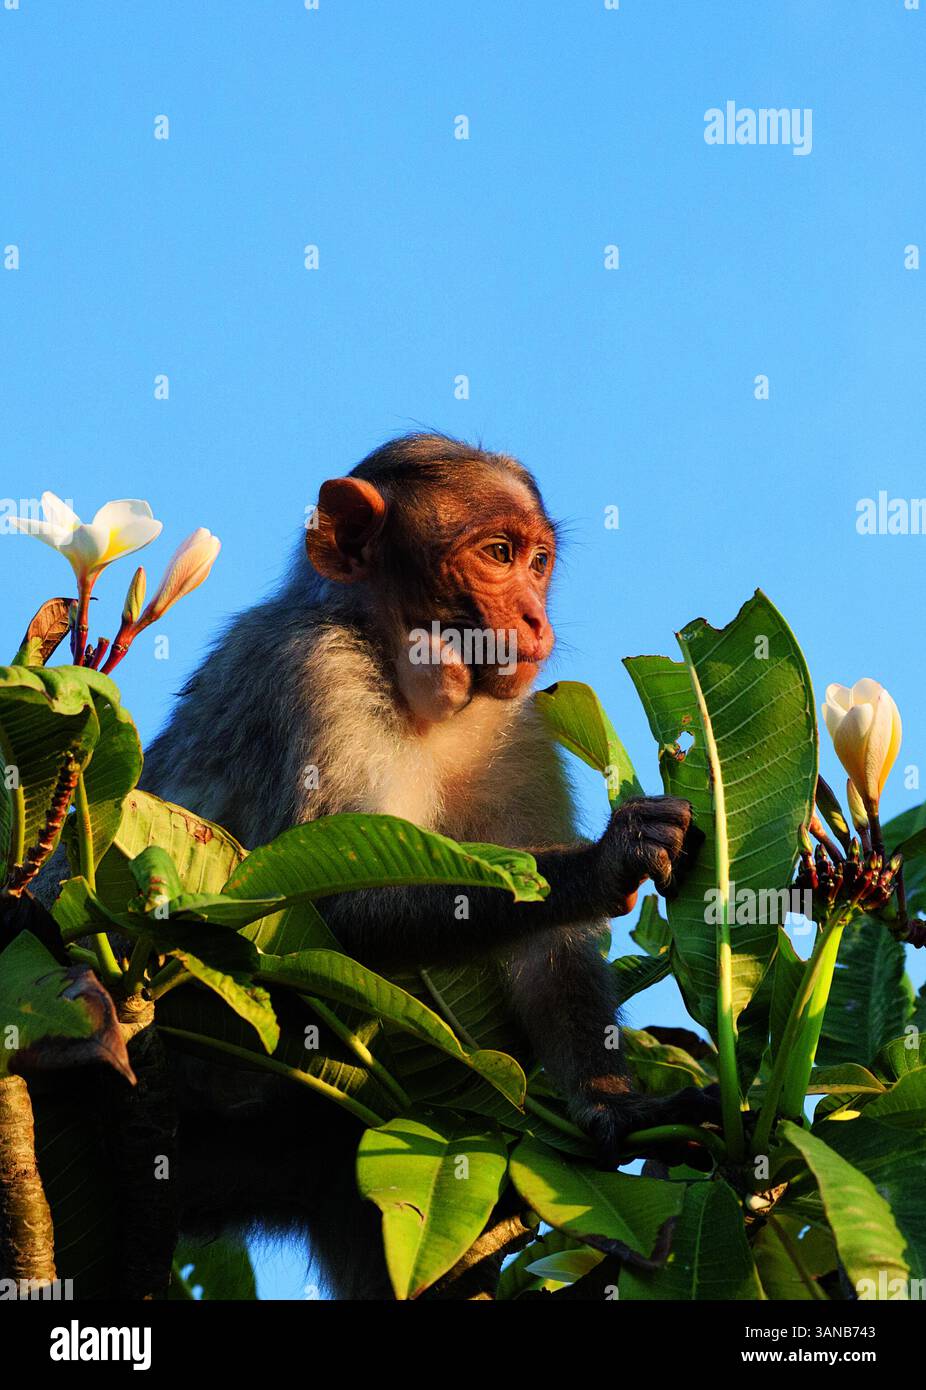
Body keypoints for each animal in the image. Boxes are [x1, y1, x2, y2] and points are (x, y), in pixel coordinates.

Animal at [139, 432, 716, 1299]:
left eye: (537, 560)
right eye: (497, 554)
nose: (534, 617)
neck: (413, 689)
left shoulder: (515, 726)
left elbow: (547, 953)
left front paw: (610, 1103)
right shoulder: (313, 670)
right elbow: (314, 911)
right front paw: (605, 861)